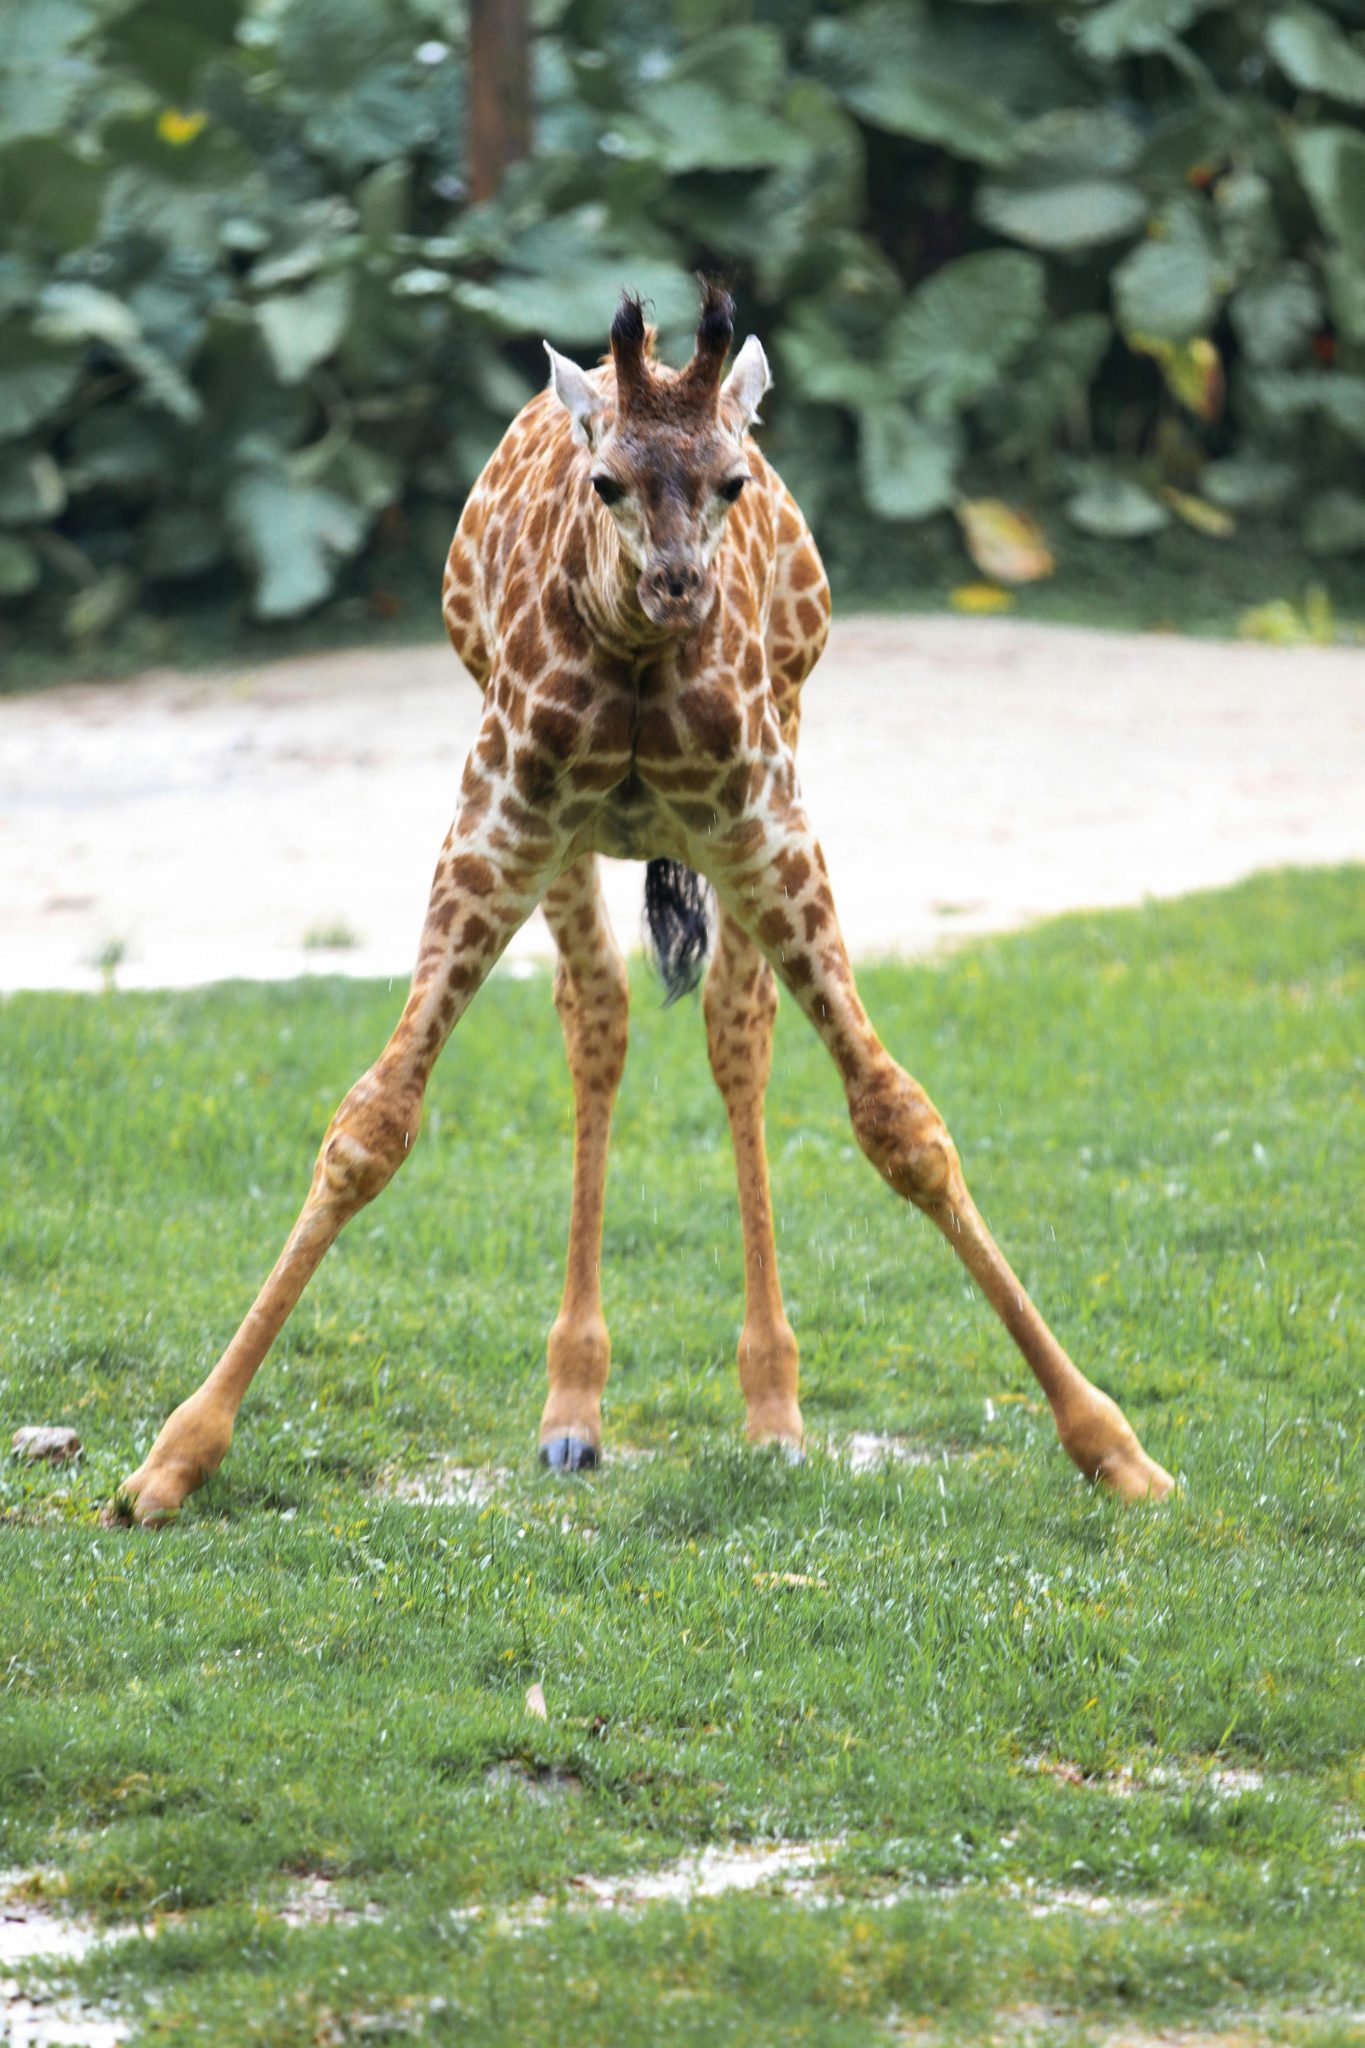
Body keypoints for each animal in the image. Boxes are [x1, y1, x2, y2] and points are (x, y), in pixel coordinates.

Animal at [105, 283, 1173, 1526]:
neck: (633, 659)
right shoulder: (495, 821)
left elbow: (899, 1120)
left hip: (759, 797)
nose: (679, 587)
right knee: (598, 1015)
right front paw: (171, 1458)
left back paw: (772, 1410)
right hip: (562, 840)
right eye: (609, 479)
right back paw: (572, 1410)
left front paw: (1114, 1445)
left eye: (732, 480)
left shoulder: (766, 823)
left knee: (734, 1029)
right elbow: (372, 1124)